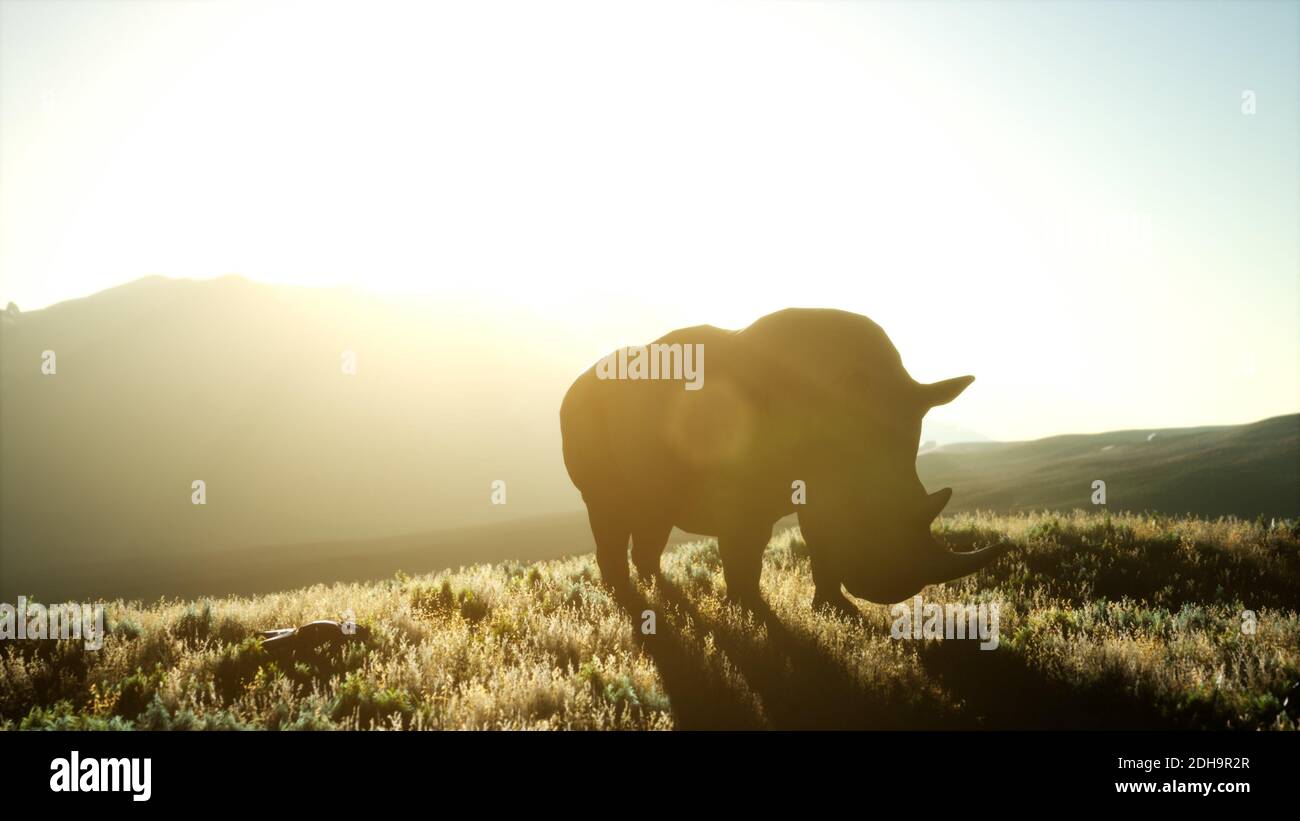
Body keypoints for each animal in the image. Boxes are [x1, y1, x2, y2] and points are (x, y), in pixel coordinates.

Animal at [559, 307, 1005, 612]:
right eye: (860, 511)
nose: (891, 590)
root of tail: (576, 381)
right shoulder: (743, 485)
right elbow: (745, 546)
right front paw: (750, 611)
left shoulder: (819, 480)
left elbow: (818, 537)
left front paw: (835, 609)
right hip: (582, 409)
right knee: (607, 507)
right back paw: (627, 601)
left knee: (653, 511)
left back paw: (662, 593)